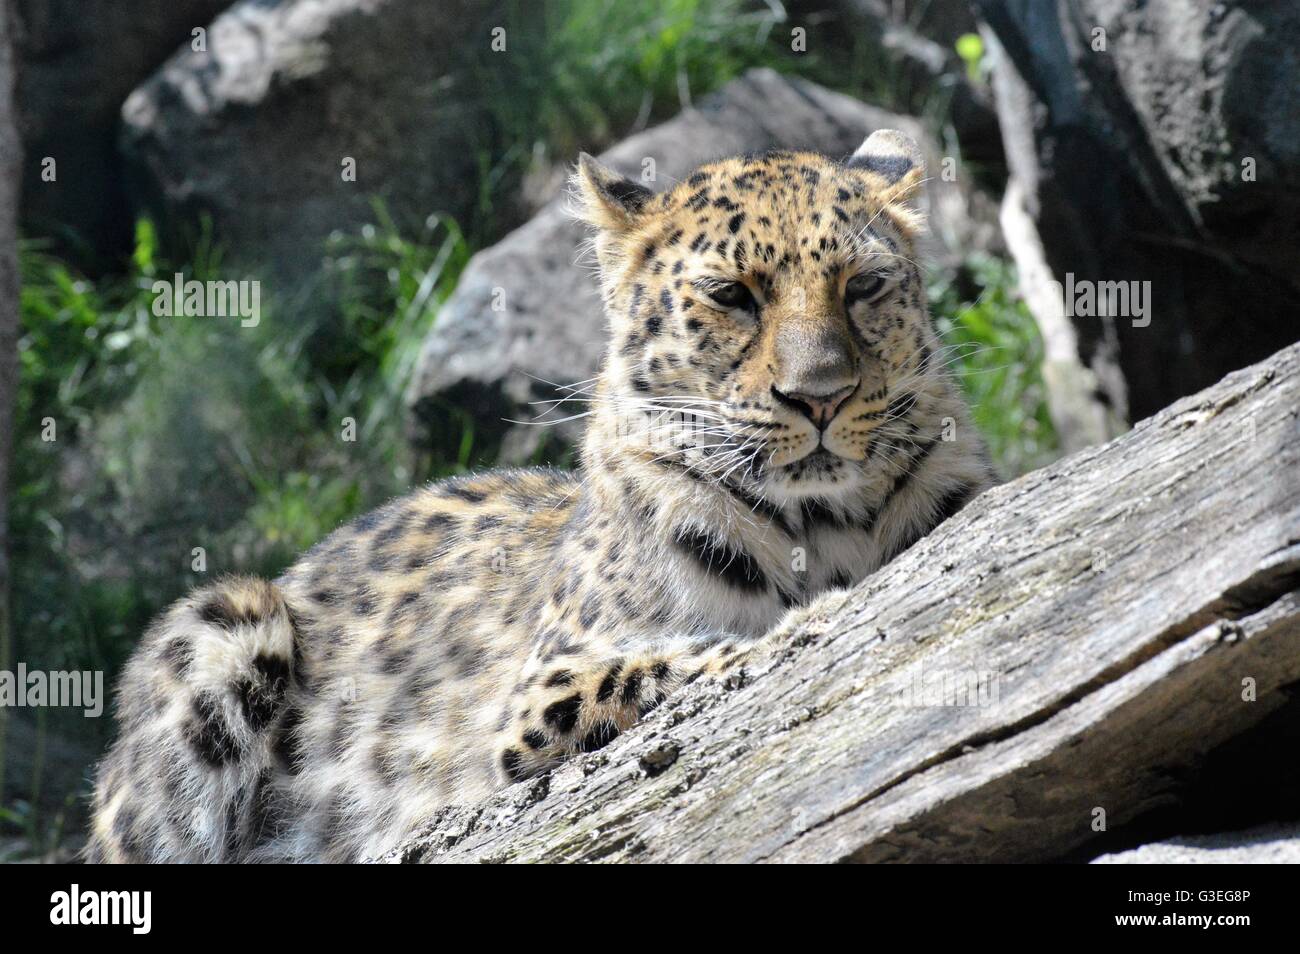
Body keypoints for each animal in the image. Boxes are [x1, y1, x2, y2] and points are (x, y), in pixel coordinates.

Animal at [87, 129, 996, 862]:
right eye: (732, 295)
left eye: (863, 286)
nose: (820, 397)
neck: (829, 523)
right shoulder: (541, 695)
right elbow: (683, 658)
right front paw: (808, 622)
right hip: (221, 624)